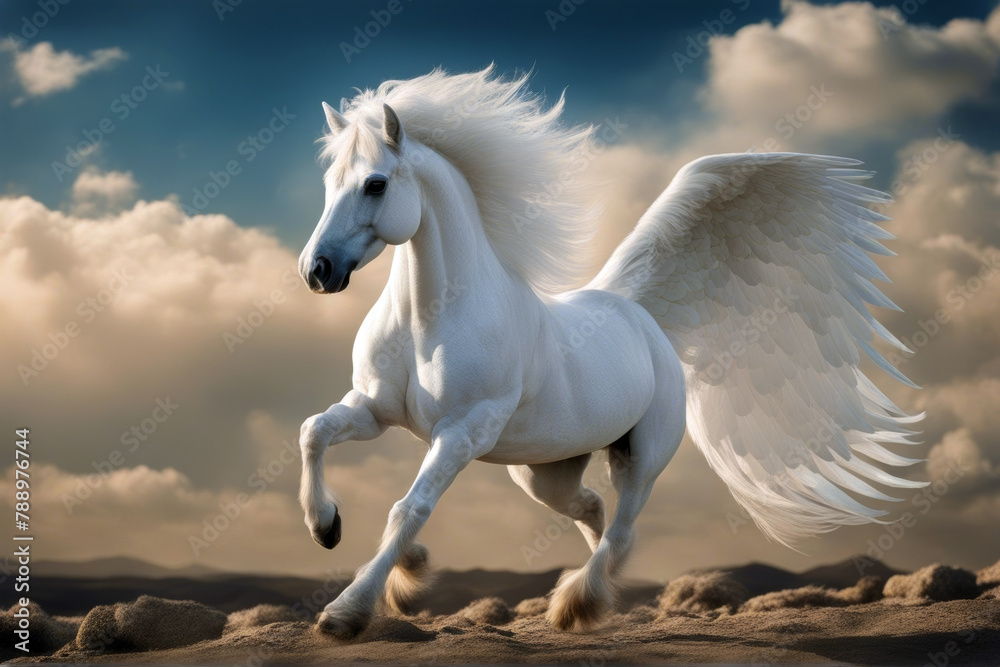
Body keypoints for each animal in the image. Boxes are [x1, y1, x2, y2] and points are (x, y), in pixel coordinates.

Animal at [296, 67, 923, 638]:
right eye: (329, 180)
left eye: (376, 184)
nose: (316, 271)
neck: (430, 318)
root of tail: (640, 315)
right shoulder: (374, 410)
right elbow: (314, 431)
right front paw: (328, 528)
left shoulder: (462, 432)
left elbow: (410, 506)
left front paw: (346, 613)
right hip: (544, 472)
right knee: (594, 511)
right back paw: (595, 594)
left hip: (641, 456)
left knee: (621, 527)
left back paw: (579, 604)